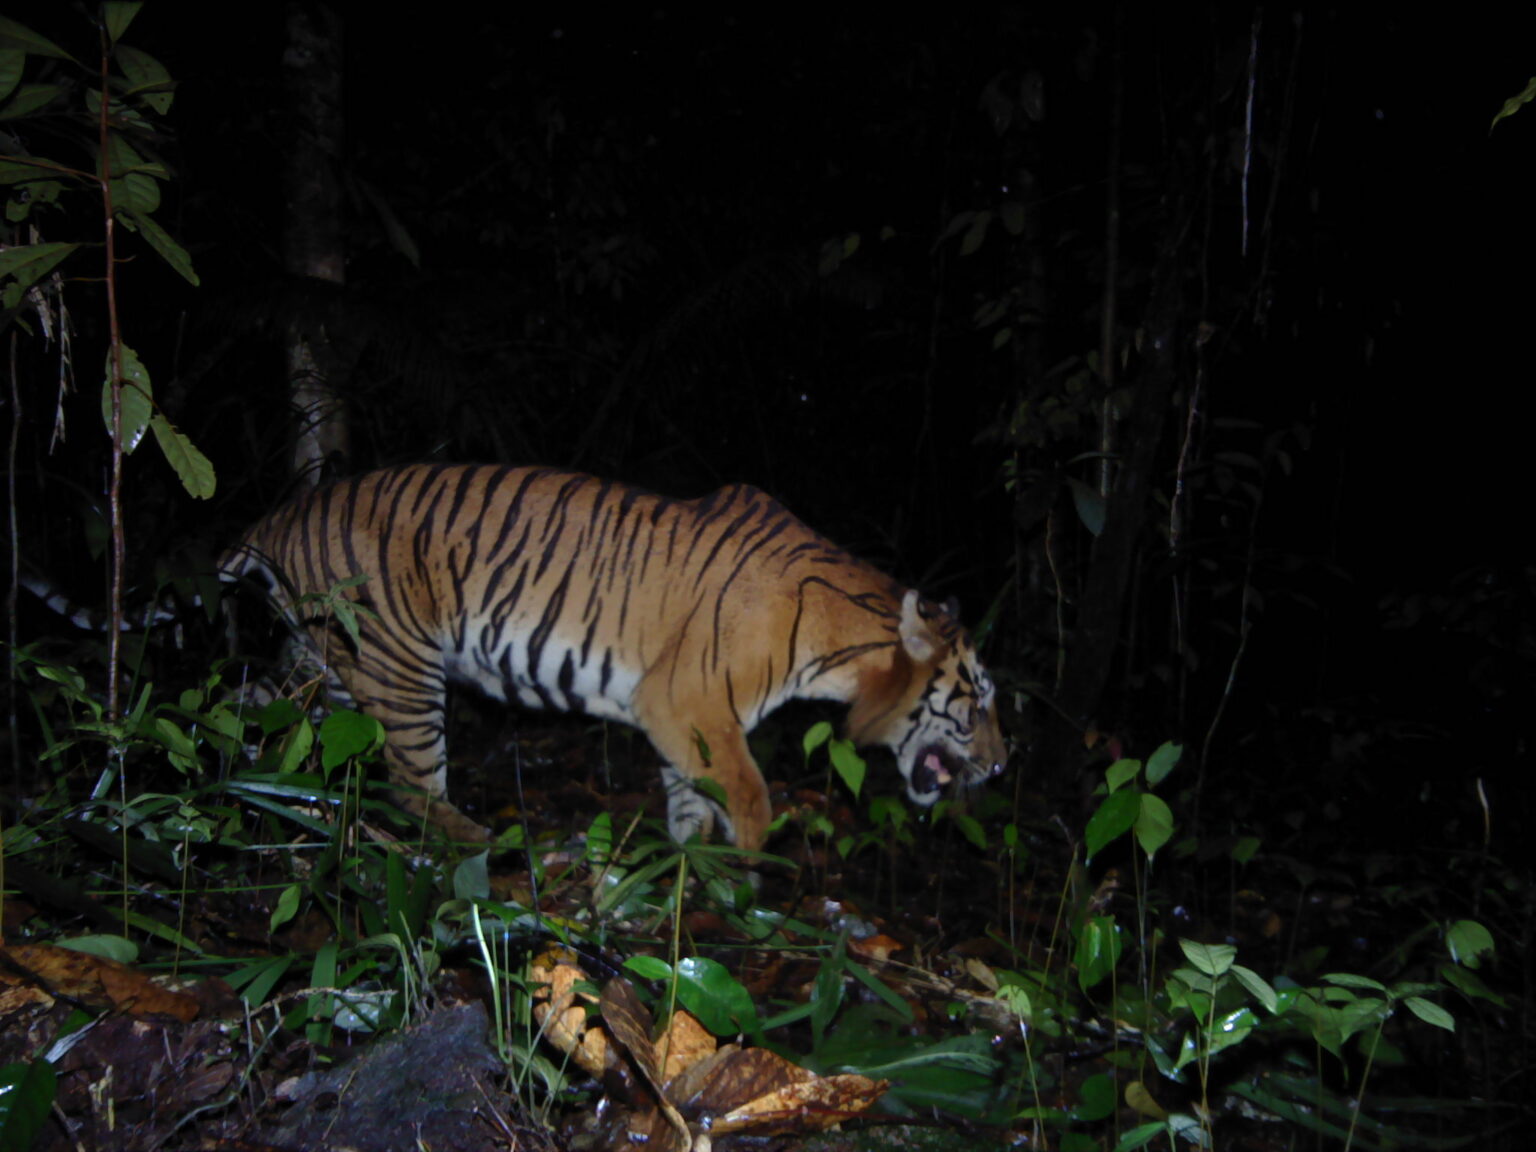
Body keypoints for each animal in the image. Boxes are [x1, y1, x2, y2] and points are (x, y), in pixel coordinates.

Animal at [220, 463, 1007, 848]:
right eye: (977, 700)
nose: (1003, 766)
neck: (840, 646)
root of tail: (282, 514)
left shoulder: (689, 720)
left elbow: (695, 800)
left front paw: (692, 874)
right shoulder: (686, 700)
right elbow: (751, 797)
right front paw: (749, 881)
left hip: (323, 664)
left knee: (255, 716)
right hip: (399, 668)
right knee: (415, 791)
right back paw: (484, 846)